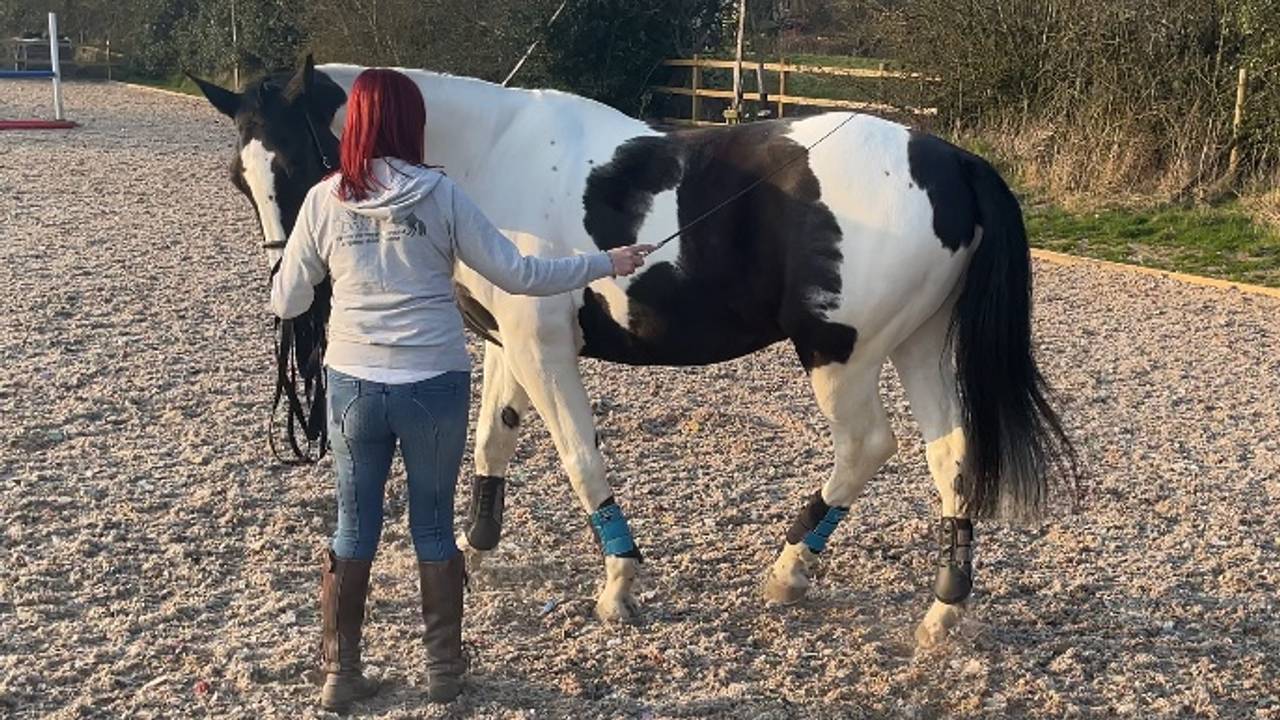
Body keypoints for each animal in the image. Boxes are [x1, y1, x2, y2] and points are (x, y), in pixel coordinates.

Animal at [191, 56, 1074, 646]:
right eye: (239, 177)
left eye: (302, 163)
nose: (293, 298)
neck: (485, 154)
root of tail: (951, 159)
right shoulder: (510, 344)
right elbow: (491, 445)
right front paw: (475, 556)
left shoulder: (544, 348)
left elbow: (579, 455)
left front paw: (619, 584)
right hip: (917, 346)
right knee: (951, 456)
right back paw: (942, 608)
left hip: (841, 356)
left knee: (868, 446)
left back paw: (789, 570)